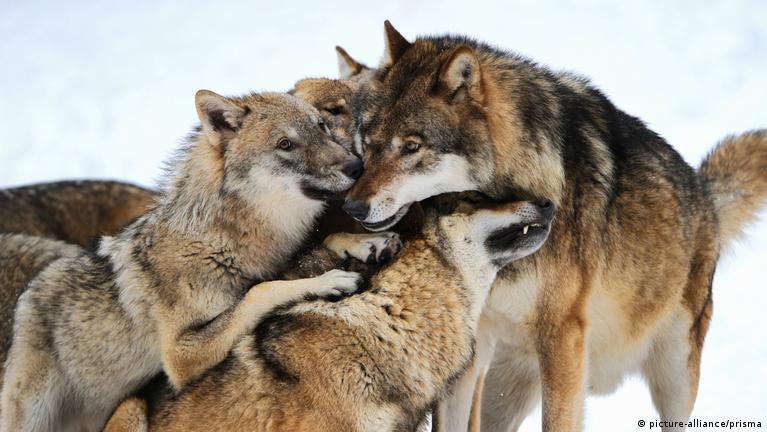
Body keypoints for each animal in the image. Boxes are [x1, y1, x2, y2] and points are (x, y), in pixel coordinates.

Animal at [343, 21, 767, 432]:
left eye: (412, 147)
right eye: (368, 141)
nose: (353, 207)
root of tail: (705, 196)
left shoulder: (564, 336)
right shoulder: (471, 345)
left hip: (674, 376)